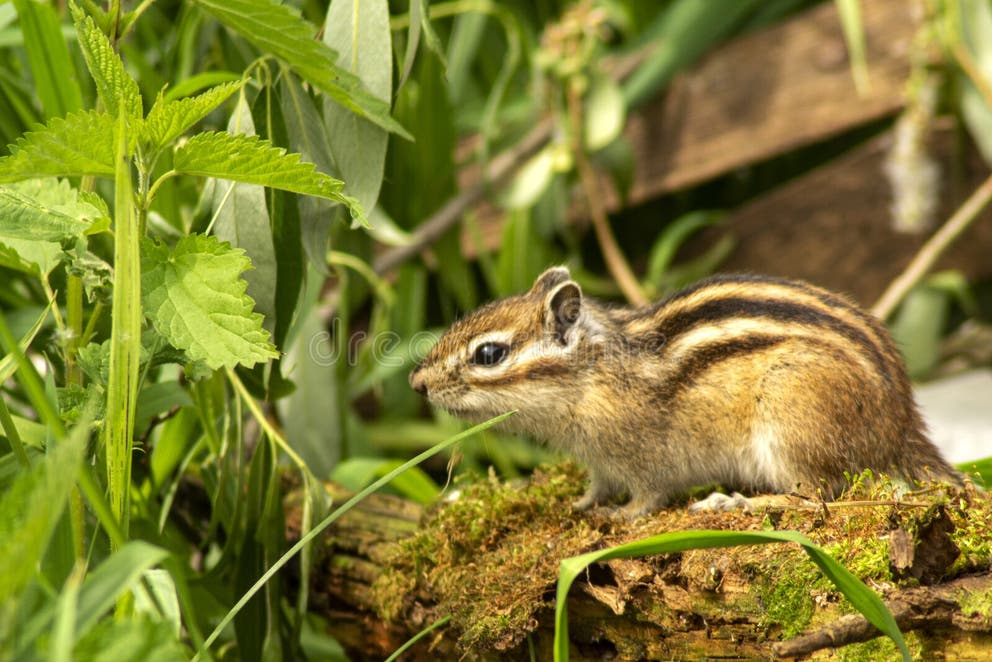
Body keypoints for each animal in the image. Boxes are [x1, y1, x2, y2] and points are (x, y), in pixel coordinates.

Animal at [409, 266, 962, 517]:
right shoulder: (600, 460)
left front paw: (621, 515)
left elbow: (648, 496)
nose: (418, 384)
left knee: (817, 495)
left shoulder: (644, 457)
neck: (594, 376)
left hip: (792, 421)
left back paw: (731, 501)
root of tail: (901, 423)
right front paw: (580, 504)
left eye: (488, 354)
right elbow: (598, 484)